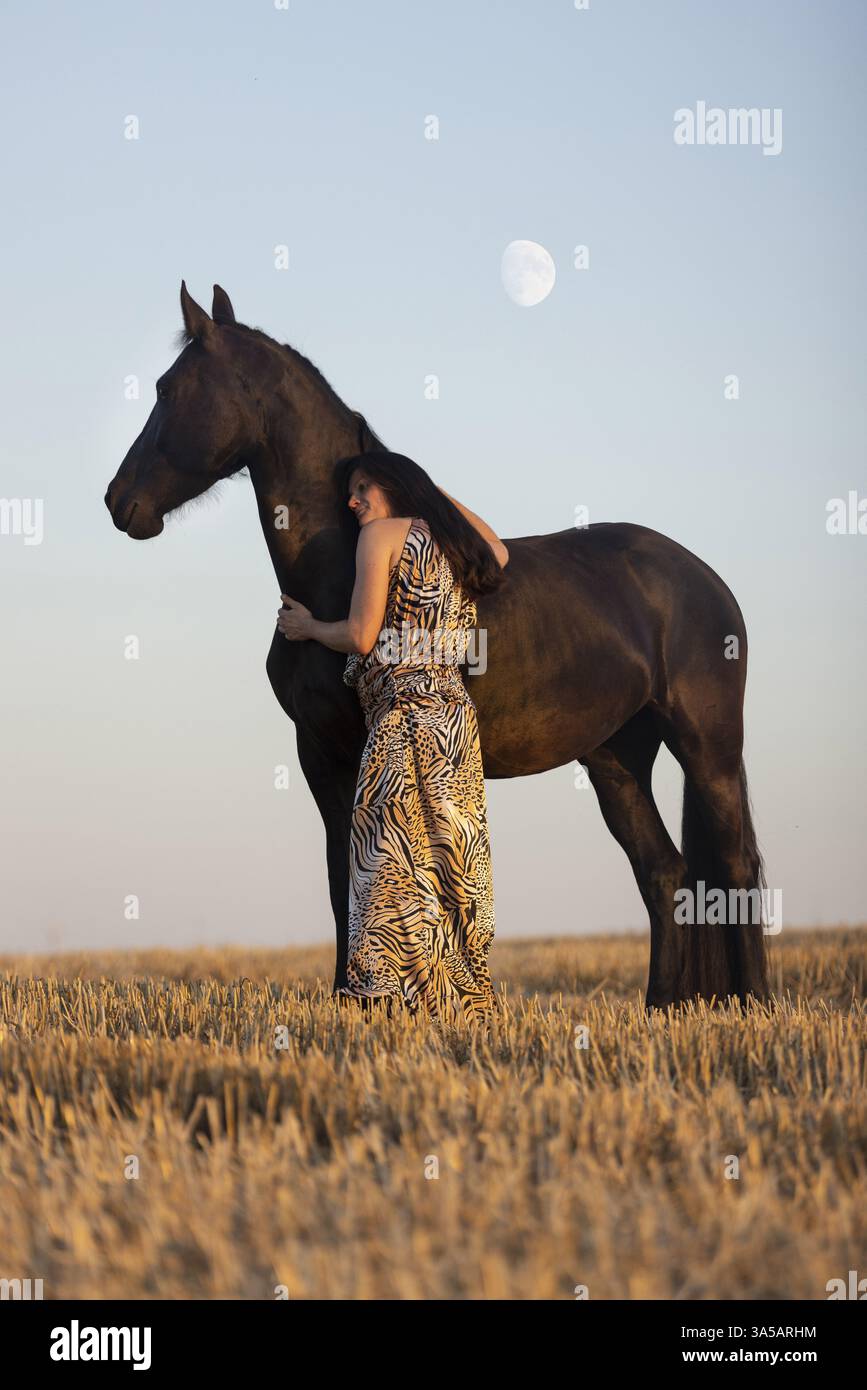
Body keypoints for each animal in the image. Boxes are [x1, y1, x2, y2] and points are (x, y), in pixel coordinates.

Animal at [105, 282, 770, 1008]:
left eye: (169, 388)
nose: (118, 500)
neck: (335, 569)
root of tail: (700, 577)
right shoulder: (318, 752)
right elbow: (340, 877)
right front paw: (350, 999)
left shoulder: (348, 749)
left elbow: (353, 876)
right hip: (616, 759)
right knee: (664, 873)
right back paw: (660, 1010)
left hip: (706, 747)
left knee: (735, 866)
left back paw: (756, 1005)